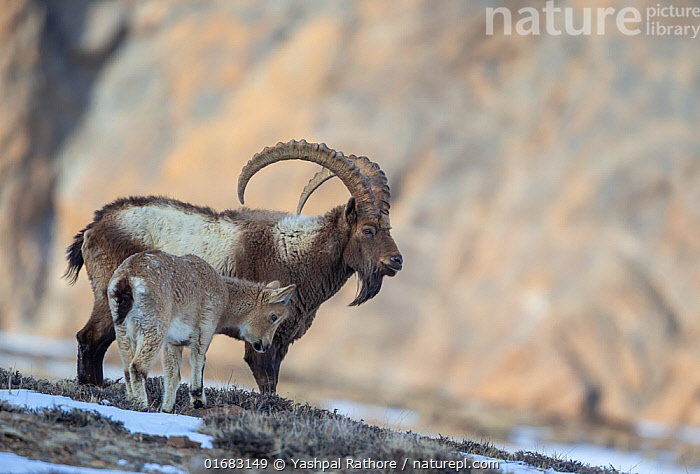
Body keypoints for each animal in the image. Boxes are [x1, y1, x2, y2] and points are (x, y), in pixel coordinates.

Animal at [65, 140, 403, 393]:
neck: (296, 253)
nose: (396, 261)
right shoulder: (262, 333)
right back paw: (93, 388)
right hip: (113, 296)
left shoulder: (282, 338)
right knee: (88, 338)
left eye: (388, 228)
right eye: (368, 230)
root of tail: (93, 227)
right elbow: (266, 380)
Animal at [108, 250, 295, 412]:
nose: (265, 345)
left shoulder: (172, 342)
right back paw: (142, 405)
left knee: (127, 368)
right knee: (137, 366)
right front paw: (198, 399)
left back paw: (131, 400)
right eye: (273, 317)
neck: (225, 298)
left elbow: (173, 375)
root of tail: (126, 278)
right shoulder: (204, 331)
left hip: (123, 331)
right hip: (153, 327)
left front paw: (167, 408)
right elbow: (198, 361)